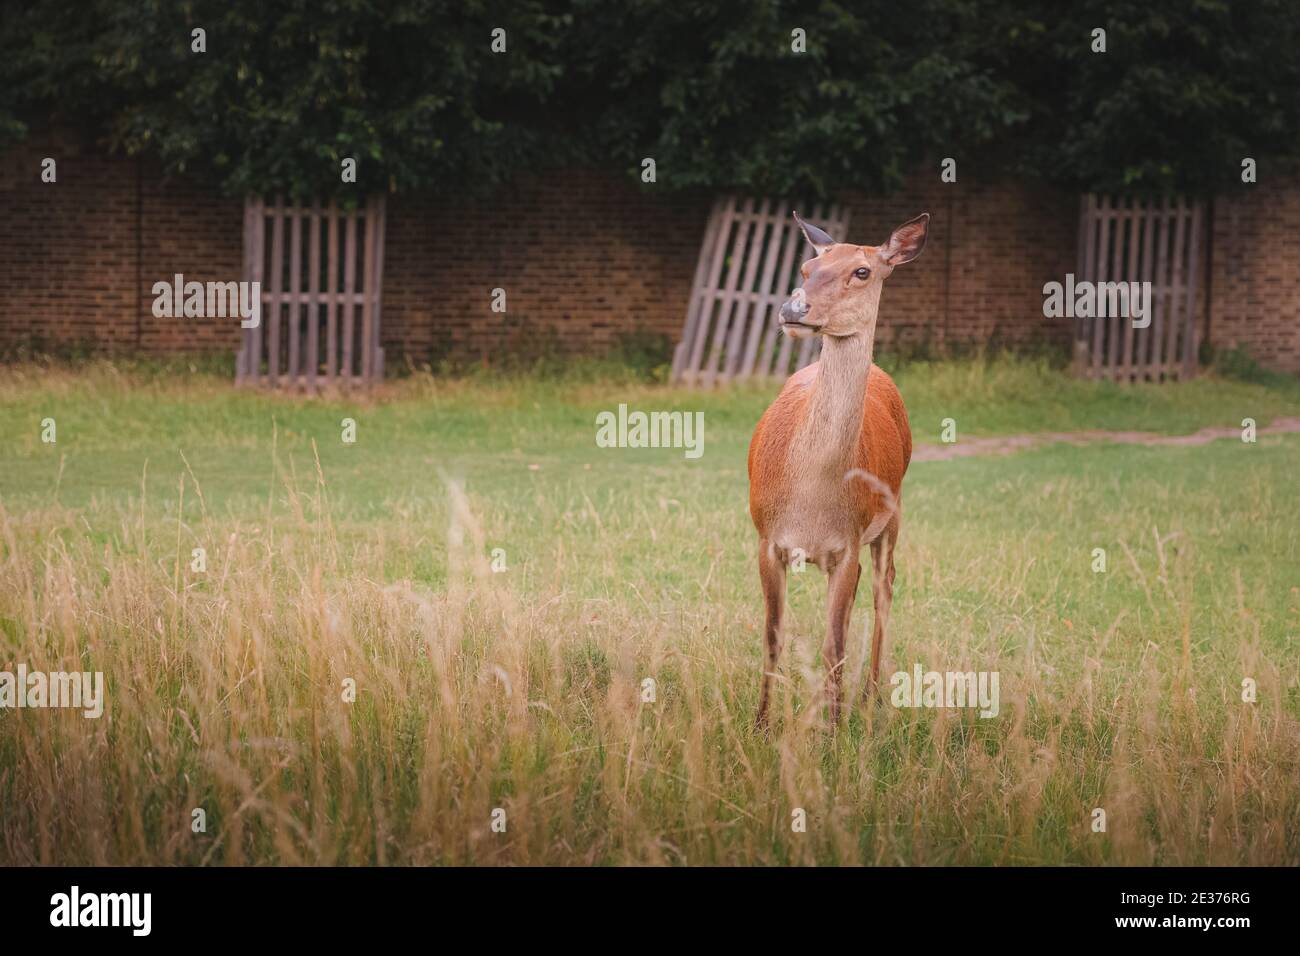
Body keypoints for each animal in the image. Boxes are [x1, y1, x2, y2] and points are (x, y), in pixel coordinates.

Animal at [748, 211, 928, 728]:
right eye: (807, 267)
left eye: (862, 271)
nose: (793, 308)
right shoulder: (767, 538)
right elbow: (773, 636)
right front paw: (761, 723)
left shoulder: (847, 542)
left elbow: (834, 644)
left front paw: (832, 729)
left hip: (894, 510)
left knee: (884, 588)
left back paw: (869, 696)